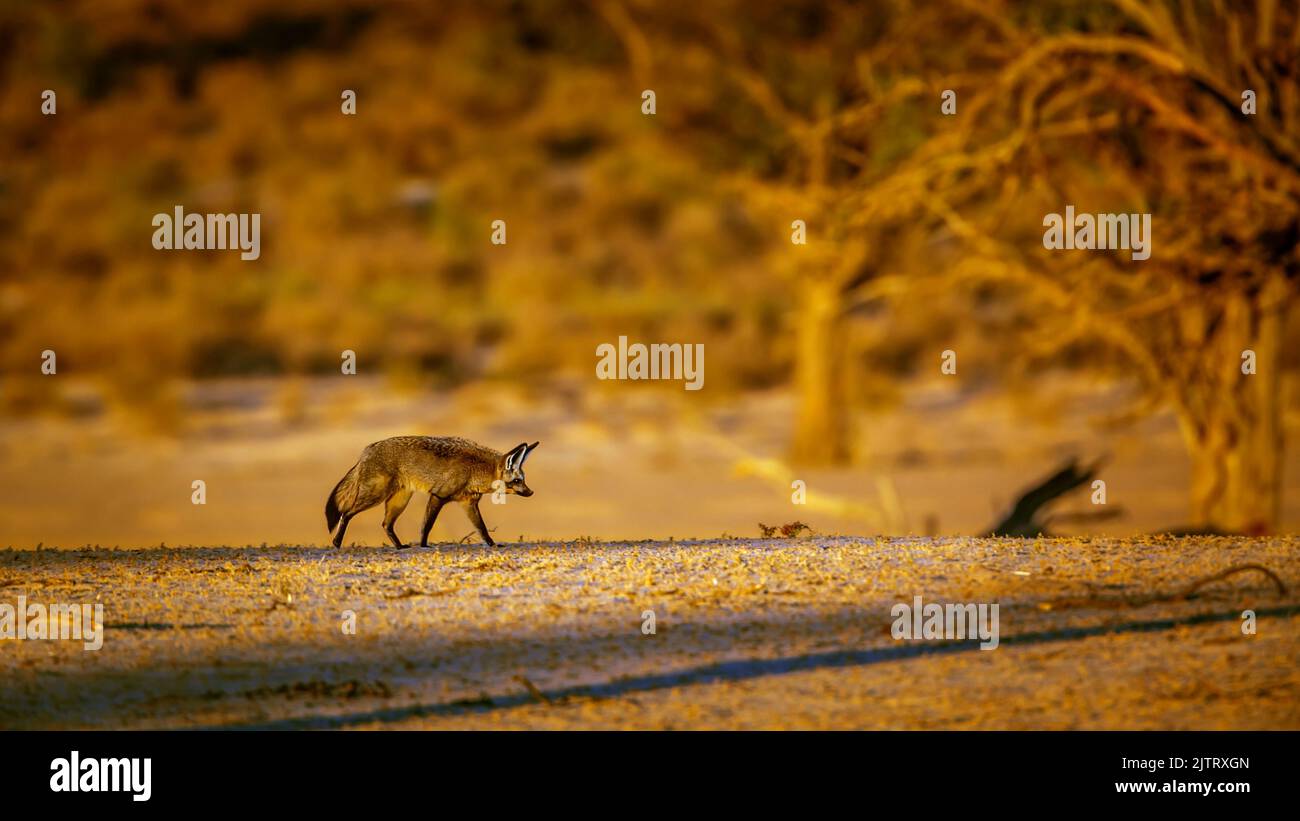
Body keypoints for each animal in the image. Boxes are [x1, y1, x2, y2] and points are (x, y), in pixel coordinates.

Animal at [324, 436, 538, 548]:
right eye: (517, 481)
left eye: (523, 479)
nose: (531, 492)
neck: (477, 469)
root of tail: (369, 448)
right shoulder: (438, 496)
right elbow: (426, 525)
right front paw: (424, 545)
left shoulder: (468, 503)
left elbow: (482, 528)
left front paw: (492, 544)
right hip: (375, 495)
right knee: (346, 513)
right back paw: (337, 542)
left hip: (399, 501)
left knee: (386, 524)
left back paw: (399, 546)